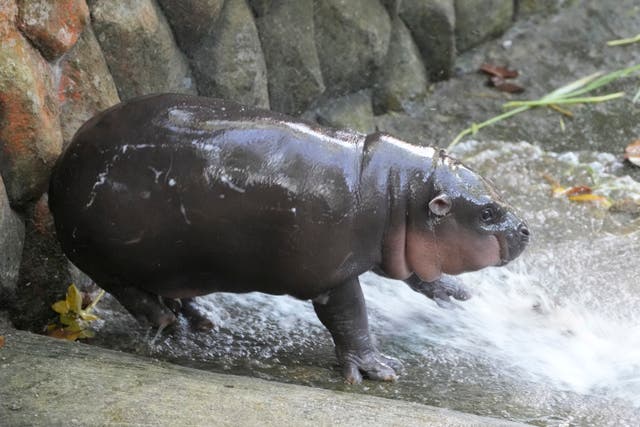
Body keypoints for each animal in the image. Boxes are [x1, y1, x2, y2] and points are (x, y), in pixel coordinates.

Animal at [49, 93, 529, 383]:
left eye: (496, 195)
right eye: (488, 213)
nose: (526, 229)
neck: (397, 190)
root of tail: (63, 161)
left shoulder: (391, 246)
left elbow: (410, 272)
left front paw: (451, 292)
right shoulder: (331, 276)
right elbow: (351, 319)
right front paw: (377, 369)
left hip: (173, 265)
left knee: (168, 290)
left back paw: (201, 319)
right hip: (100, 256)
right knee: (130, 293)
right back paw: (168, 325)